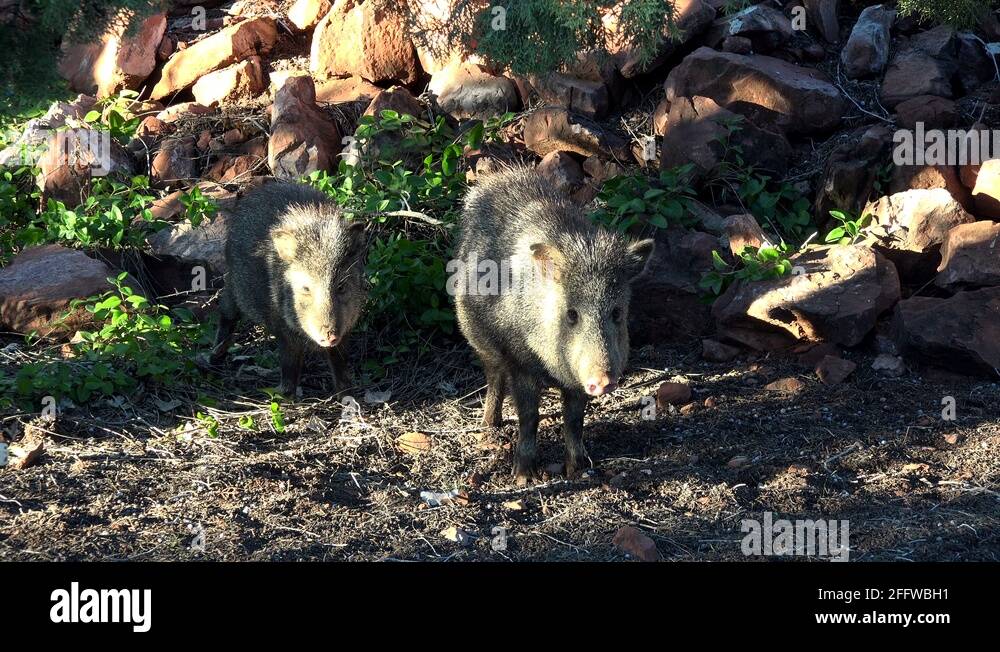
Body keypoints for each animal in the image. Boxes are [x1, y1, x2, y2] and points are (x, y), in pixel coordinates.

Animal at [209, 181, 368, 396]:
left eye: (341, 286)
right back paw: (214, 357)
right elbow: (289, 369)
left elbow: (339, 364)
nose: (330, 335)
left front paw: (346, 392)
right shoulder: (283, 330)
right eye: (306, 288)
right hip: (233, 287)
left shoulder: (345, 332)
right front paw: (282, 395)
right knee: (225, 315)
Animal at [454, 166, 654, 484]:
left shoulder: (576, 378)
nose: (604, 380)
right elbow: (529, 416)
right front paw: (524, 476)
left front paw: (579, 469)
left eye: (617, 313)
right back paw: (489, 426)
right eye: (571, 314)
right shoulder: (519, 361)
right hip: (478, 337)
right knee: (493, 376)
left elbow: (574, 419)